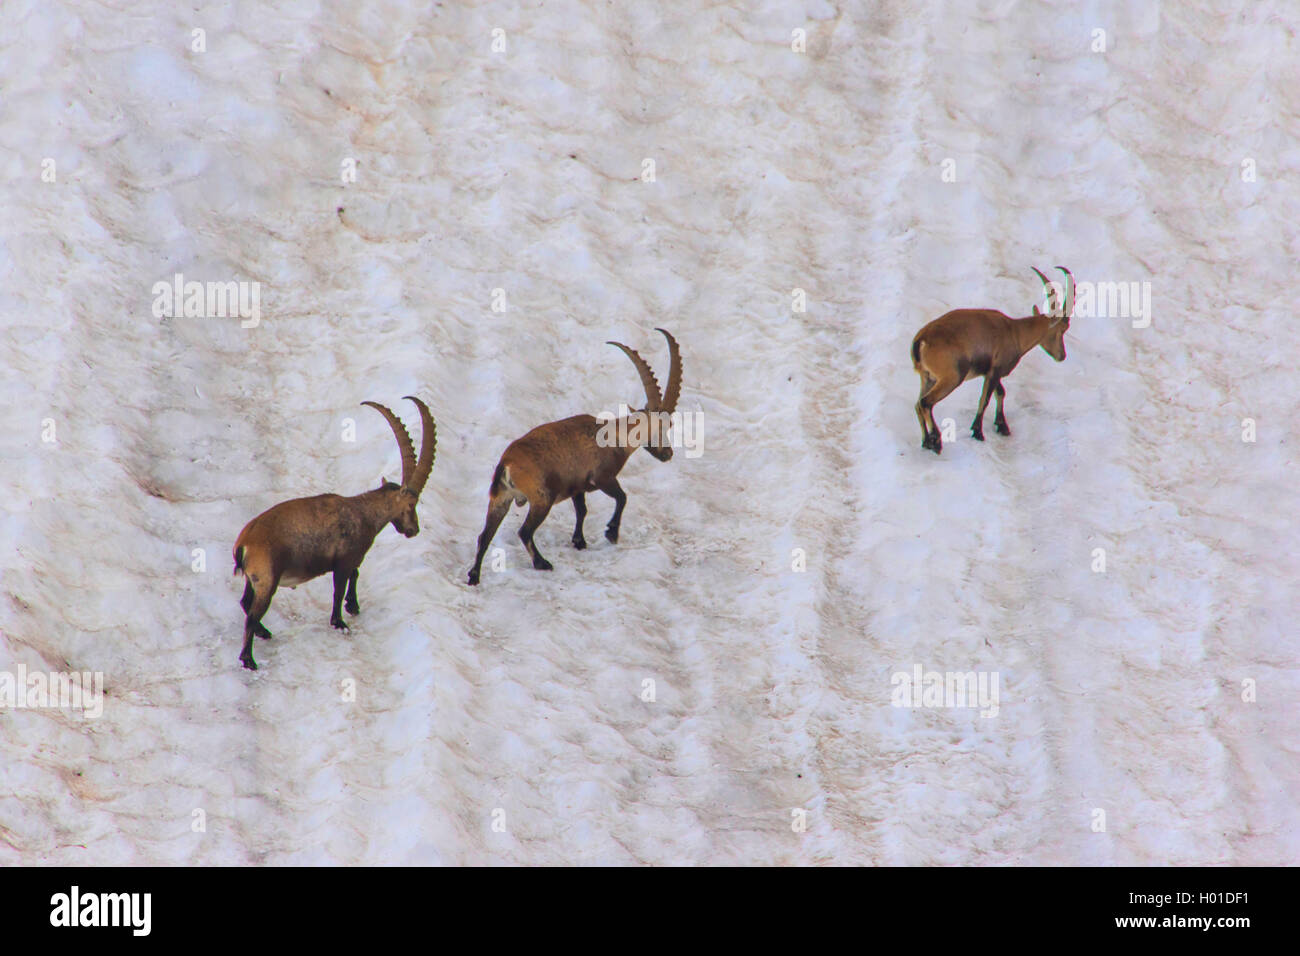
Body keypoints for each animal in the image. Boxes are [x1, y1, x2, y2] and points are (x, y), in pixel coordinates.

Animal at [232, 396, 436, 669]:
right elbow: (338, 589)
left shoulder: (351, 560)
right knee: (251, 615)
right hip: (267, 579)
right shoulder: (344, 560)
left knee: (245, 603)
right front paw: (339, 622)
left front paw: (354, 606)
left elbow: (355, 575)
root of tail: (244, 544)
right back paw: (249, 660)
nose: (413, 530)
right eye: (411, 504)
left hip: (253, 580)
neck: (363, 512)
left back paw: (264, 633)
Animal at [468, 328, 681, 585]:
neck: (614, 436)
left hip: (501, 499)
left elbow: (582, 510)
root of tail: (506, 464)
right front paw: (611, 533)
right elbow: (622, 498)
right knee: (524, 531)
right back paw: (542, 563)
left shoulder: (577, 486)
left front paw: (579, 541)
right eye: (662, 428)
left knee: (484, 536)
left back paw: (474, 576)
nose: (668, 454)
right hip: (542, 498)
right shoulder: (603, 477)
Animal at [911, 266, 1074, 454]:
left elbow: (1000, 393)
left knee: (917, 404)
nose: (1062, 356)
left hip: (927, 377)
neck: (1014, 332)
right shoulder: (995, 370)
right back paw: (936, 442)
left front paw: (1002, 426)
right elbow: (985, 399)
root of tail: (921, 340)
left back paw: (926, 442)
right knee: (926, 402)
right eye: (1062, 329)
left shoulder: (989, 372)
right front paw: (978, 432)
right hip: (952, 377)